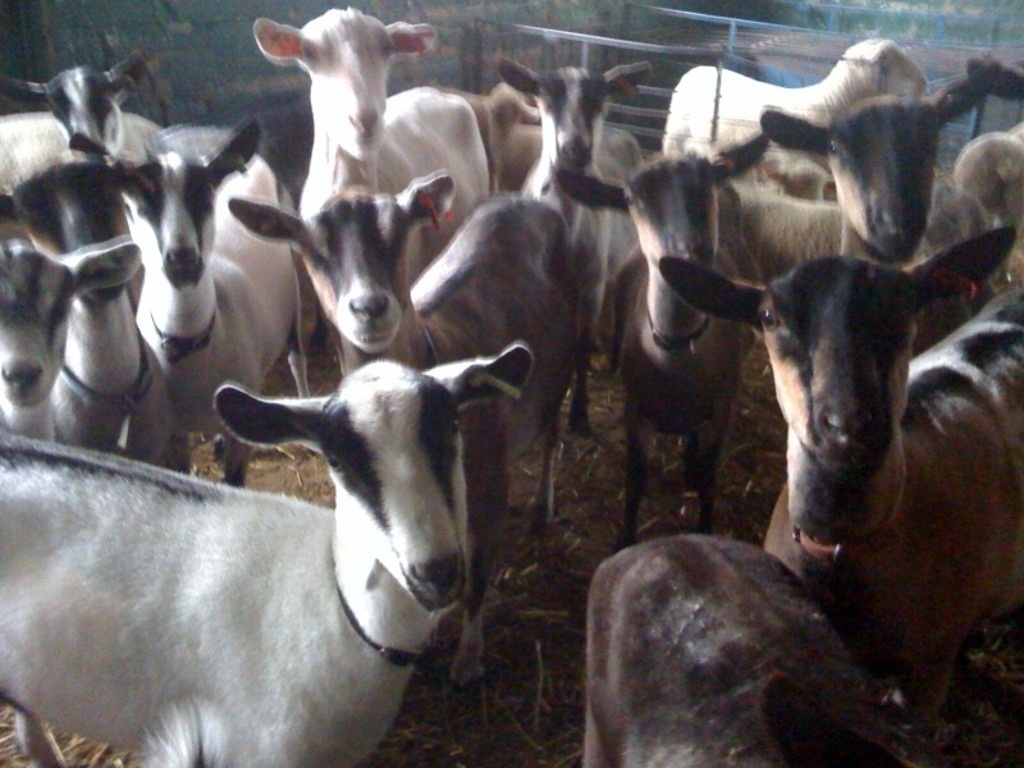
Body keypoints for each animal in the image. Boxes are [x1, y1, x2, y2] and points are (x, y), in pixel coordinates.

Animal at [121, 120, 308, 485]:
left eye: (205, 192)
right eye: (139, 199)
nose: (182, 258)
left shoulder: (240, 444)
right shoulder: (171, 435)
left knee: (297, 358)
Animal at [230, 177, 577, 684]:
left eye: (398, 230)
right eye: (313, 247)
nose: (369, 307)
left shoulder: (488, 495)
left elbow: (476, 578)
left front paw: (467, 660)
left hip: (564, 367)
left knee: (552, 431)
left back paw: (543, 505)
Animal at [499, 57, 650, 435]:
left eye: (600, 98)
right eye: (545, 97)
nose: (575, 149)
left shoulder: (591, 282)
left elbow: (579, 347)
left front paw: (579, 411)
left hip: (623, 261)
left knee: (619, 304)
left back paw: (611, 357)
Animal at [556, 133, 769, 549]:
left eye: (708, 180)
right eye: (631, 197)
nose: (688, 255)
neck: (678, 353)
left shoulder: (723, 408)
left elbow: (708, 477)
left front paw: (703, 527)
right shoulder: (636, 410)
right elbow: (637, 474)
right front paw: (625, 538)